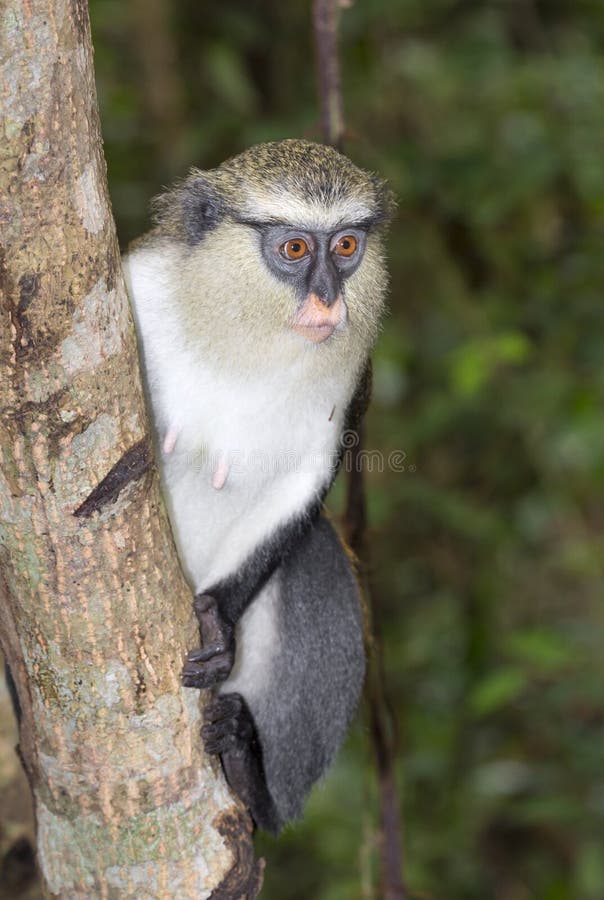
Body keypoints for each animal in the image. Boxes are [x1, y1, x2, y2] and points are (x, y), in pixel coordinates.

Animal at [122, 139, 393, 833]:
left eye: (345, 246)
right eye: (294, 249)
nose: (329, 299)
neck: (246, 345)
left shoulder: (351, 373)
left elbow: (303, 486)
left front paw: (218, 621)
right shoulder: (138, 289)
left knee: (319, 556)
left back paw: (254, 780)